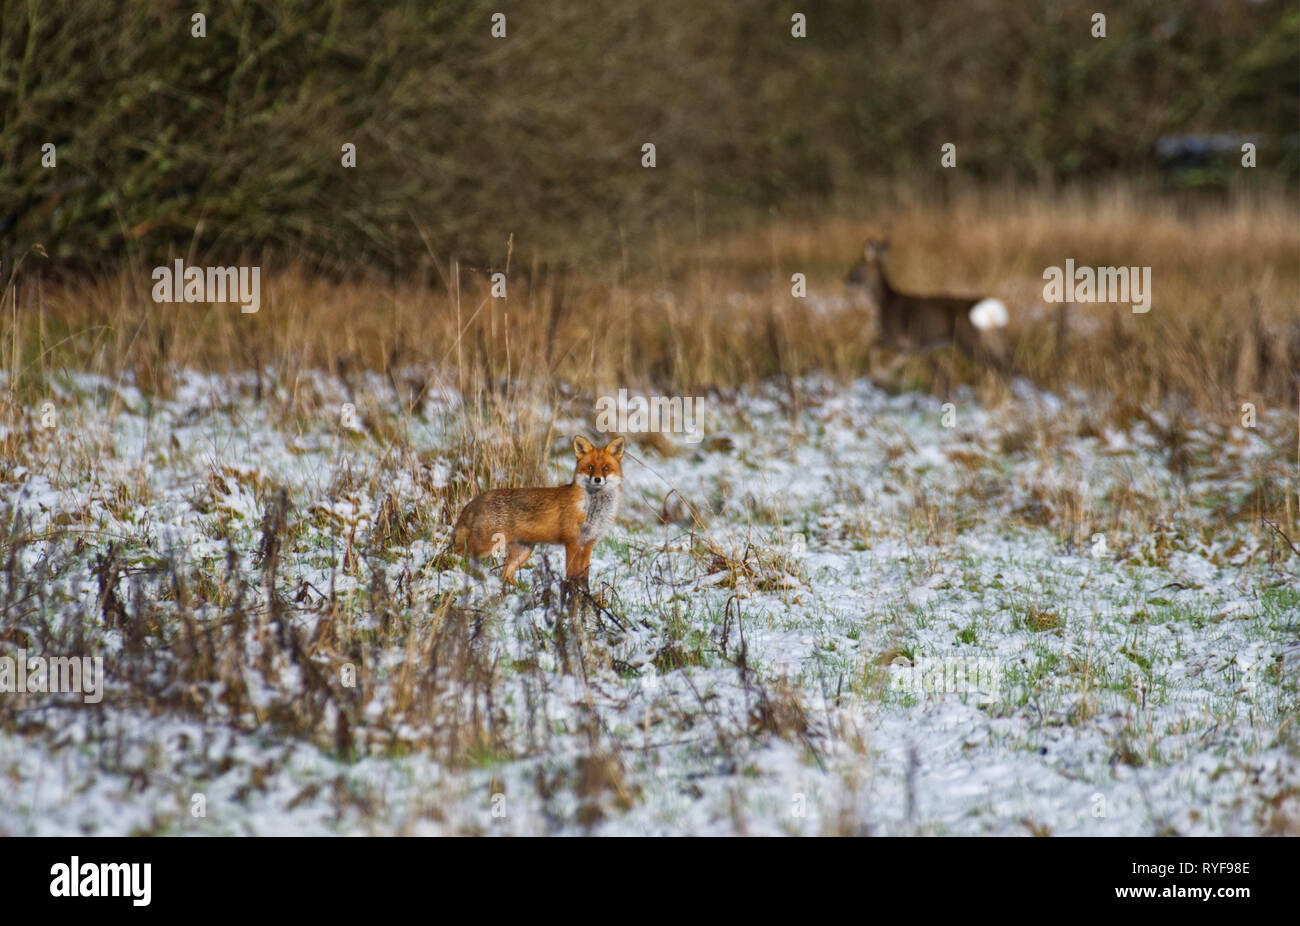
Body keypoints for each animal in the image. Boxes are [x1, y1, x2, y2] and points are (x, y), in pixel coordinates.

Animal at [450, 435, 625, 587]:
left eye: (606, 468)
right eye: (590, 467)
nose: (597, 479)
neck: (592, 511)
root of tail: (476, 499)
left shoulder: (587, 544)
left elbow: (584, 577)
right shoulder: (572, 543)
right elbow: (572, 574)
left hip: (523, 552)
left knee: (505, 574)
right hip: (485, 545)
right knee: (458, 551)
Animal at [846, 238, 1010, 368]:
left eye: (856, 269)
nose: (847, 280)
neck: (883, 301)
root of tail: (981, 305)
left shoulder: (895, 336)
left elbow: (873, 348)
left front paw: (880, 376)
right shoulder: (914, 347)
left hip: (968, 339)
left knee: (1000, 367)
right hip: (993, 340)